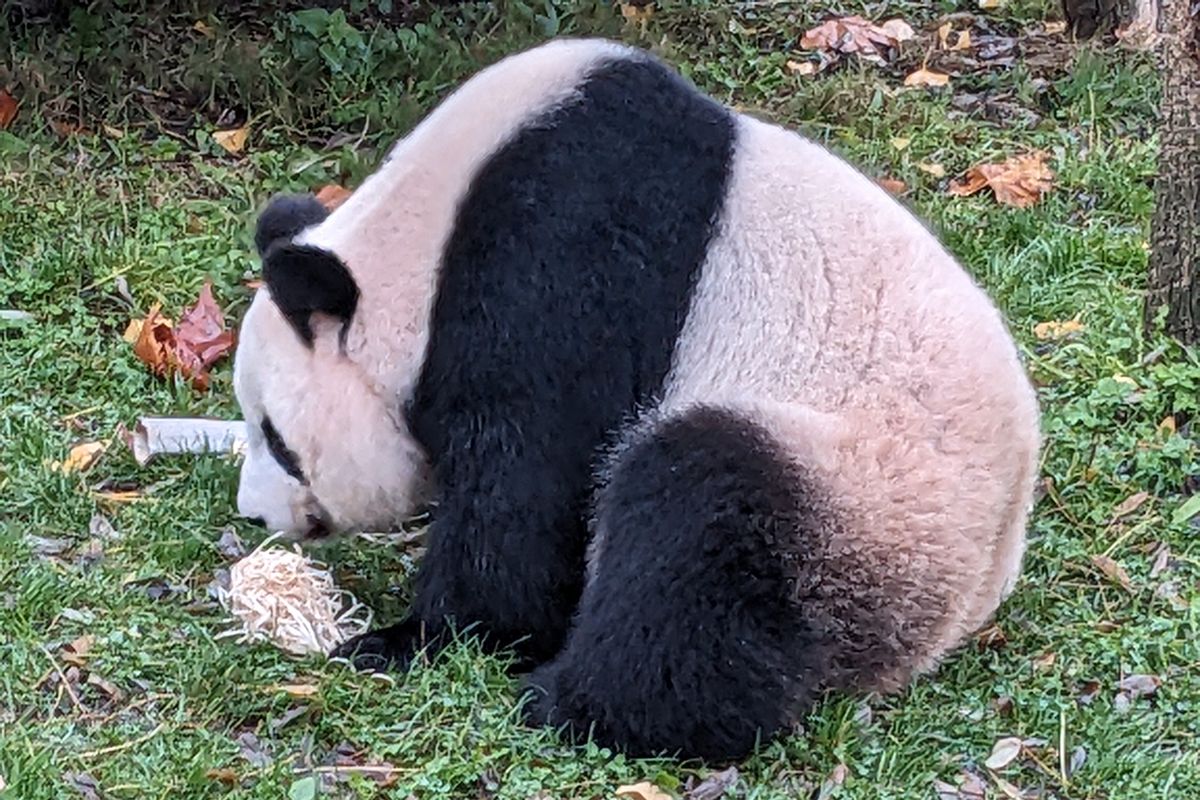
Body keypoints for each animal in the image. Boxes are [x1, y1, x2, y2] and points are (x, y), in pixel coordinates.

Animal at [232, 37, 1041, 762]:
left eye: (278, 439)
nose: (255, 515)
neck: (421, 248)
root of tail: (967, 608)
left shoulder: (555, 267)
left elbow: (527, 490)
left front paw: (408, 638)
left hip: (867, 500)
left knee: (702, 514)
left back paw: (574, 705)